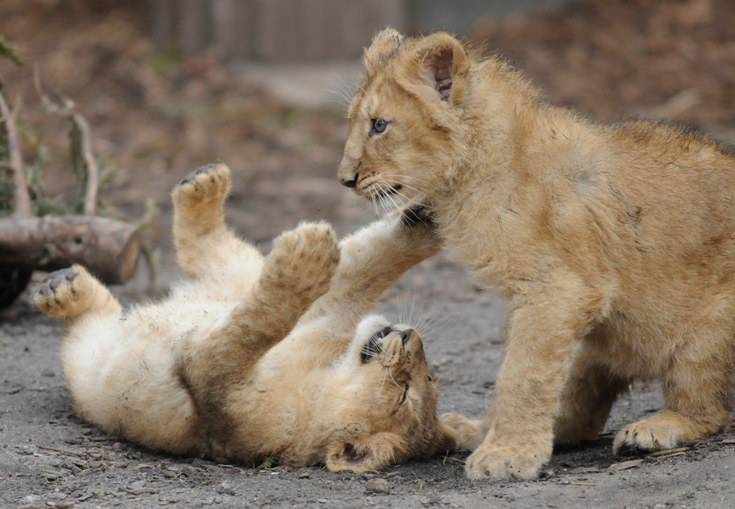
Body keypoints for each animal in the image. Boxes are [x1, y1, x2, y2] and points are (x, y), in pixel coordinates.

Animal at [33, 163, 465, 473]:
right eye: (428, 379)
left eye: (407, 393)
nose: (411, 337)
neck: (318, 377)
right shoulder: (329, 313)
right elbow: (370, 265)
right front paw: (429, 210)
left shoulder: (213, 383)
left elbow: (253, 327)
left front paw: (303, 260)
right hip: (236, 278)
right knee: (214, 253)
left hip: (84, 361)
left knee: (96, 320)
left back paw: (64, 291)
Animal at [337, 28, 735, 480]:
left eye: (379, 125)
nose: (344, 179)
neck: (472, 170)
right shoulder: (541, 297)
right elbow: (520, 371)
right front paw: (493, 437)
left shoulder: (558, 287)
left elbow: (521, 374)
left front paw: (505, 454)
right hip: (597, 342)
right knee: (582, 407)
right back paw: (489, 430)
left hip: (705, 336)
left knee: (707, 409)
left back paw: (653, 430)